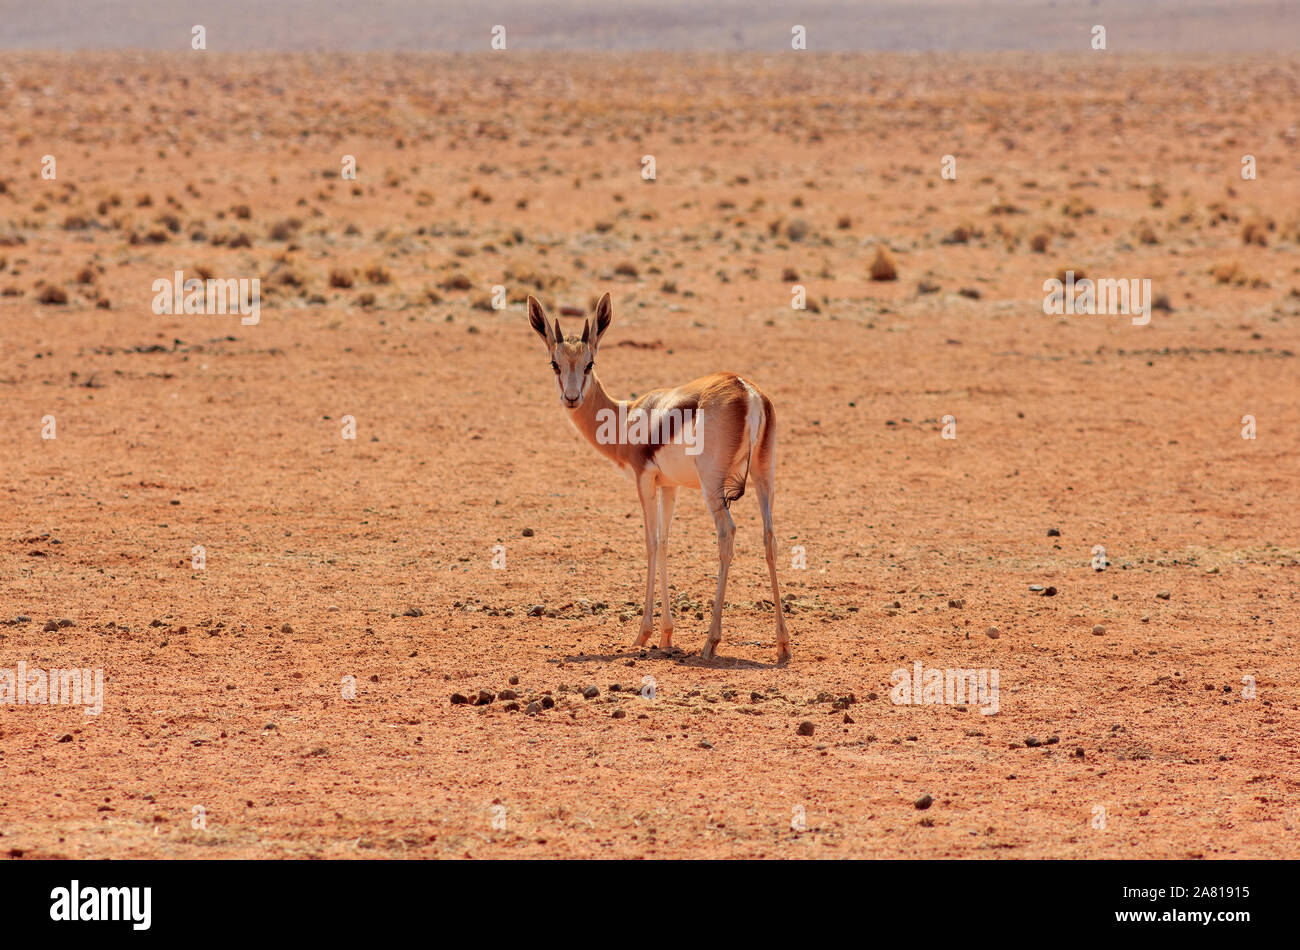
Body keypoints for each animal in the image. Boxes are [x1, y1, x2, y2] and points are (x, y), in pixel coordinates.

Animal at [526, 292, 790, 663]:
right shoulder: (670, 486)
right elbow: (665, 543)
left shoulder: (644, 479)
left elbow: (650, 543)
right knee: (770, 538)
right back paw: (782, 644)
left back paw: (710, 642)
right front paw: (666, 635)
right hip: (765, 477)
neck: (625, 416)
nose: (572, 398)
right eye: (555, 363)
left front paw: (643, 634)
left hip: (713, 486)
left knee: (727, 534)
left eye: (590, 363)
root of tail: (745, 392)